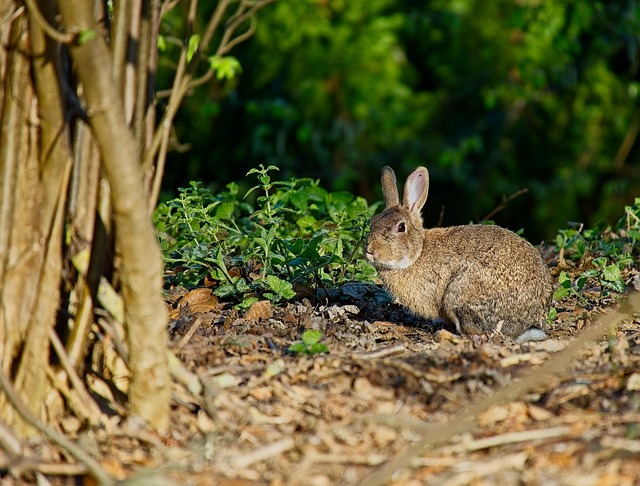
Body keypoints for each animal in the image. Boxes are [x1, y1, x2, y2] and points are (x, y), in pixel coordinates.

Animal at [365, 166, 553, 343]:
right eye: (372, 222)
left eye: (401, 227)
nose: (370, 251)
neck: (418, 253)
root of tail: (531, 322)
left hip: (458, 297)